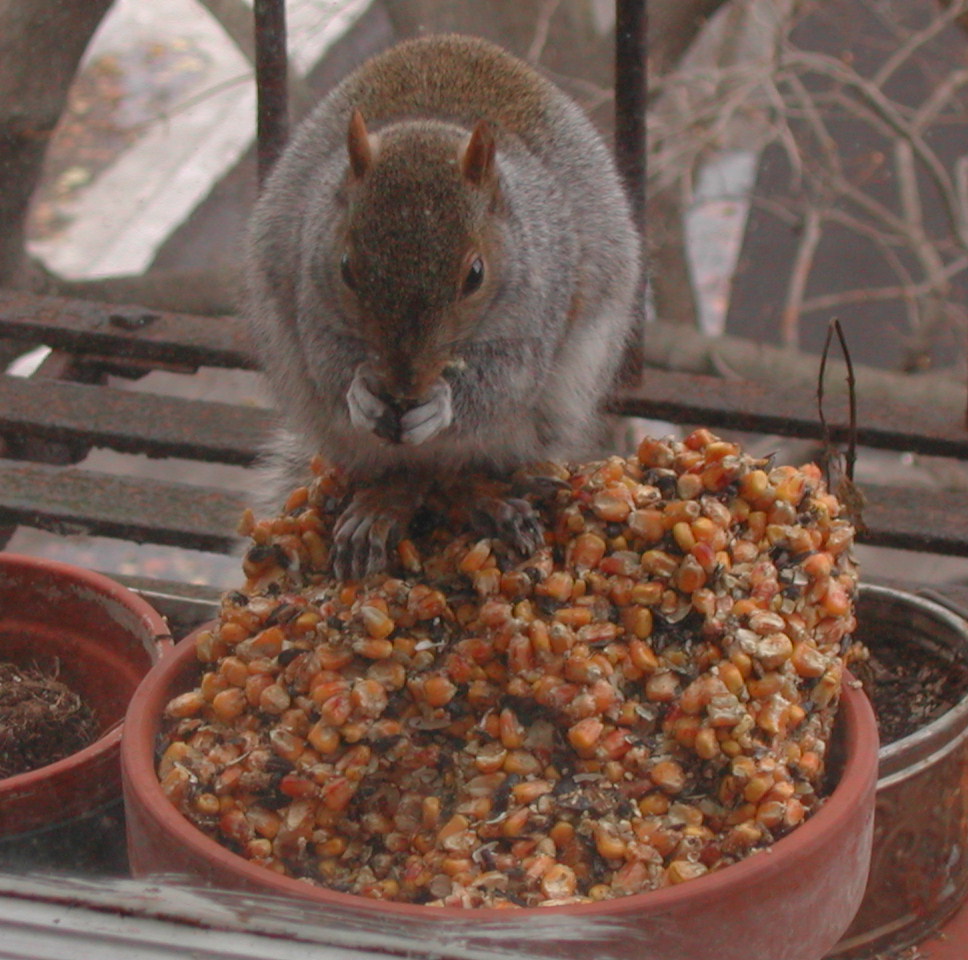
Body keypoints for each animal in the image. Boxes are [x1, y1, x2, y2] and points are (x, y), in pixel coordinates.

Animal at [245, 33, 642, 579]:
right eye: (346, 267)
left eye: (475, 274)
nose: (404, 385)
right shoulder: (314, 303)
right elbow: (327, 361)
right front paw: (360, 394)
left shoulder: (540, 306)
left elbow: (504, 381)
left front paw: (441, 403)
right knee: (405, 475)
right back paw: (379, 508)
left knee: (458, 472)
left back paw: (487, 499)